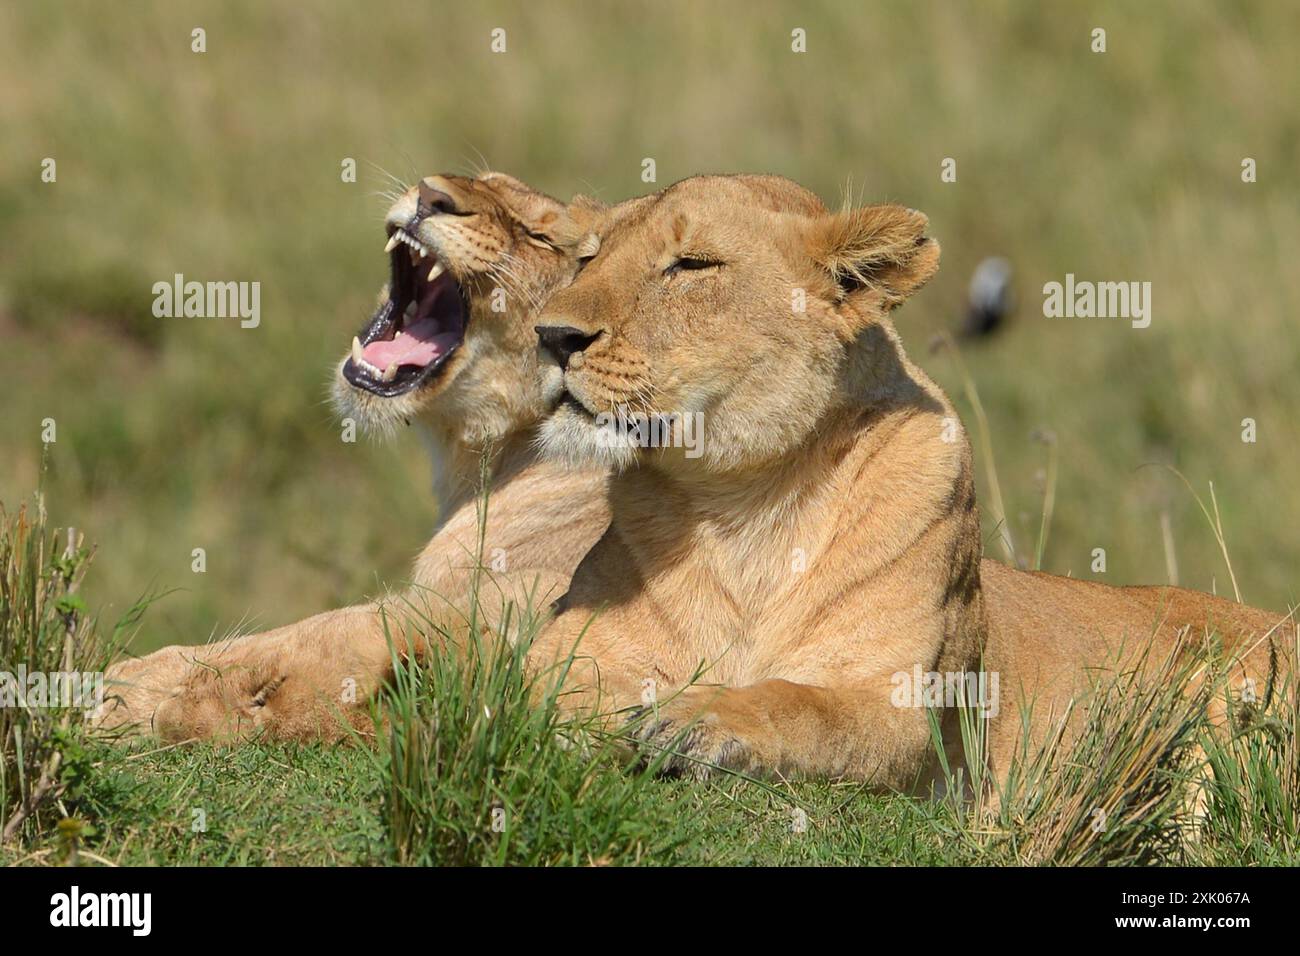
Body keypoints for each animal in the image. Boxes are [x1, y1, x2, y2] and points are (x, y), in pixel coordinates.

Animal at [525, 173, 1293, 790]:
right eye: (588, 257)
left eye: (691, 265)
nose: (551, 336)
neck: (742, 500)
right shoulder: (562, 660)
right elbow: (525, 699)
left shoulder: (899, 713)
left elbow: (797, 704)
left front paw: (697, 720)